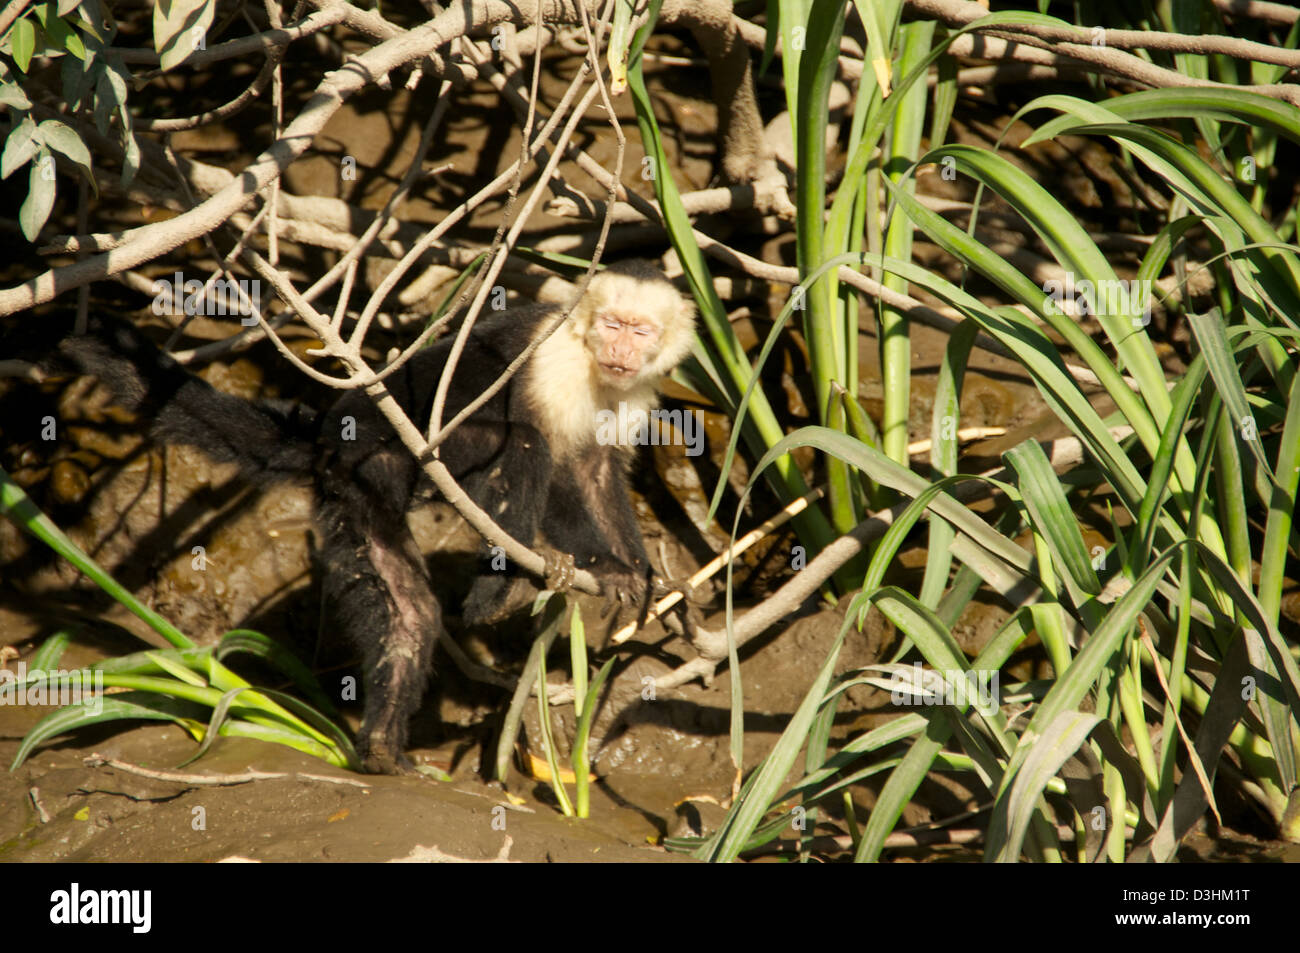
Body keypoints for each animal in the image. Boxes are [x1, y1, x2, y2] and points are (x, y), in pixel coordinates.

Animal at [49, 259, 697, 774]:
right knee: (519, 440)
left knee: (407, 610)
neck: (593, 366)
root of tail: (329, 433)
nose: (620, 351)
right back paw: (499, 590)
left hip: (355, 494)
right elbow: (558, 463)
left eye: (640, 331)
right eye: (612, 325)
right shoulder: (554, 363)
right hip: (375, 456)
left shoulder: (634, 393)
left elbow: (599, 472)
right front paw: (603, 565)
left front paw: (643, 577)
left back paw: (382, 749)